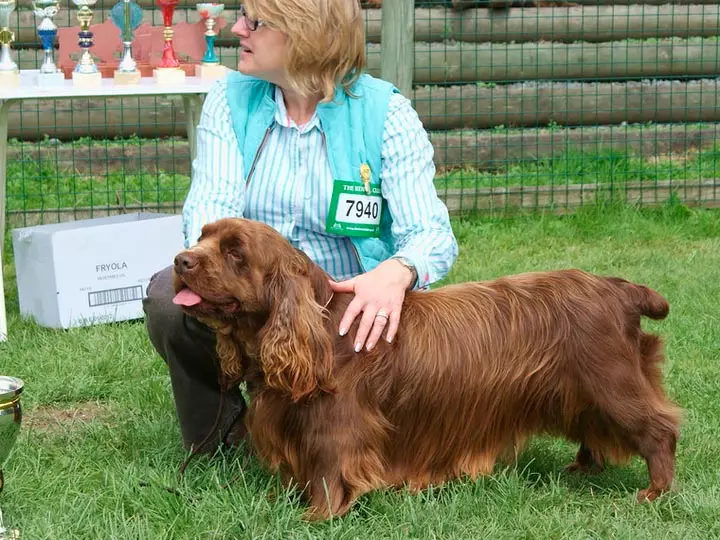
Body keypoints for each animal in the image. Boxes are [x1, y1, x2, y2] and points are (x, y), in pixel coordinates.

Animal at [173, 217, 680, 520]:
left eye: (235, 252)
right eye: (202, 236)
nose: (181, 259)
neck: (320, 329)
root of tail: (623, 290)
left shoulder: (337, 428)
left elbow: (328, 475)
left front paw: (313, 517)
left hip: (611, 382)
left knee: (659, 430)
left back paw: (654, 492)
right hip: (581, 391)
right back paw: (582, 469)